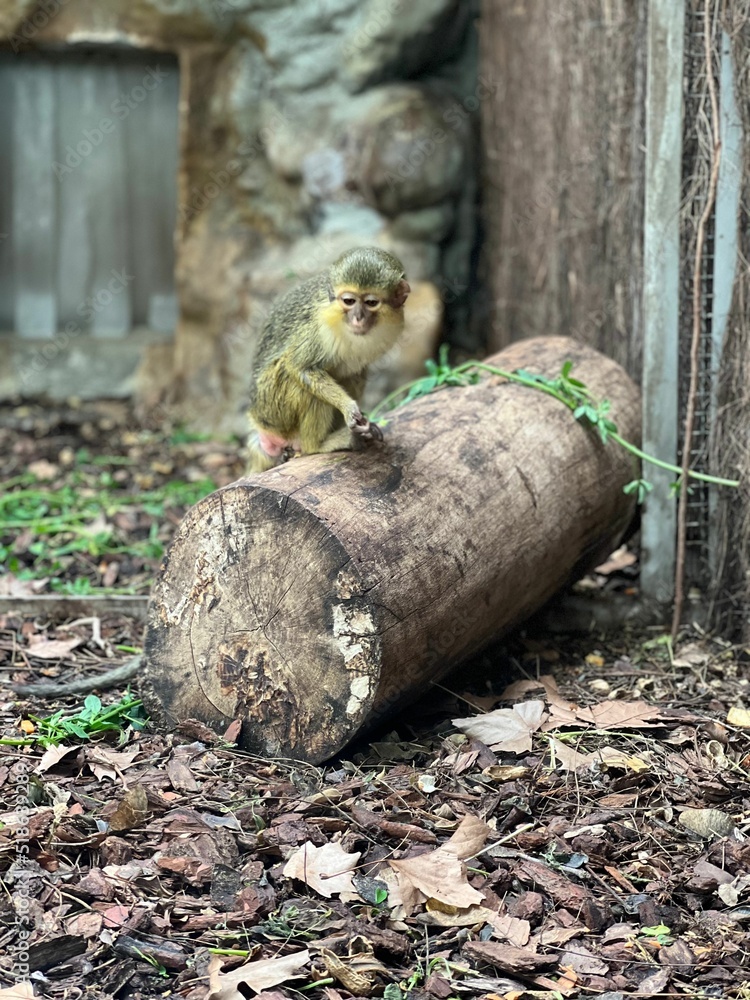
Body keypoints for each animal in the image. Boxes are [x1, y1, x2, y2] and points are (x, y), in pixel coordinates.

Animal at [246, 247, 410, 473]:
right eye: (349, 301)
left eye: (371, 303)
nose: (358, 318)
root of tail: (258, 421)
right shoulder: (319, 327)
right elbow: (301, 367)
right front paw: (348, 407)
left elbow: (354, 372)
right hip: (272, 411)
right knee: (303, 386)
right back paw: (316, 445)